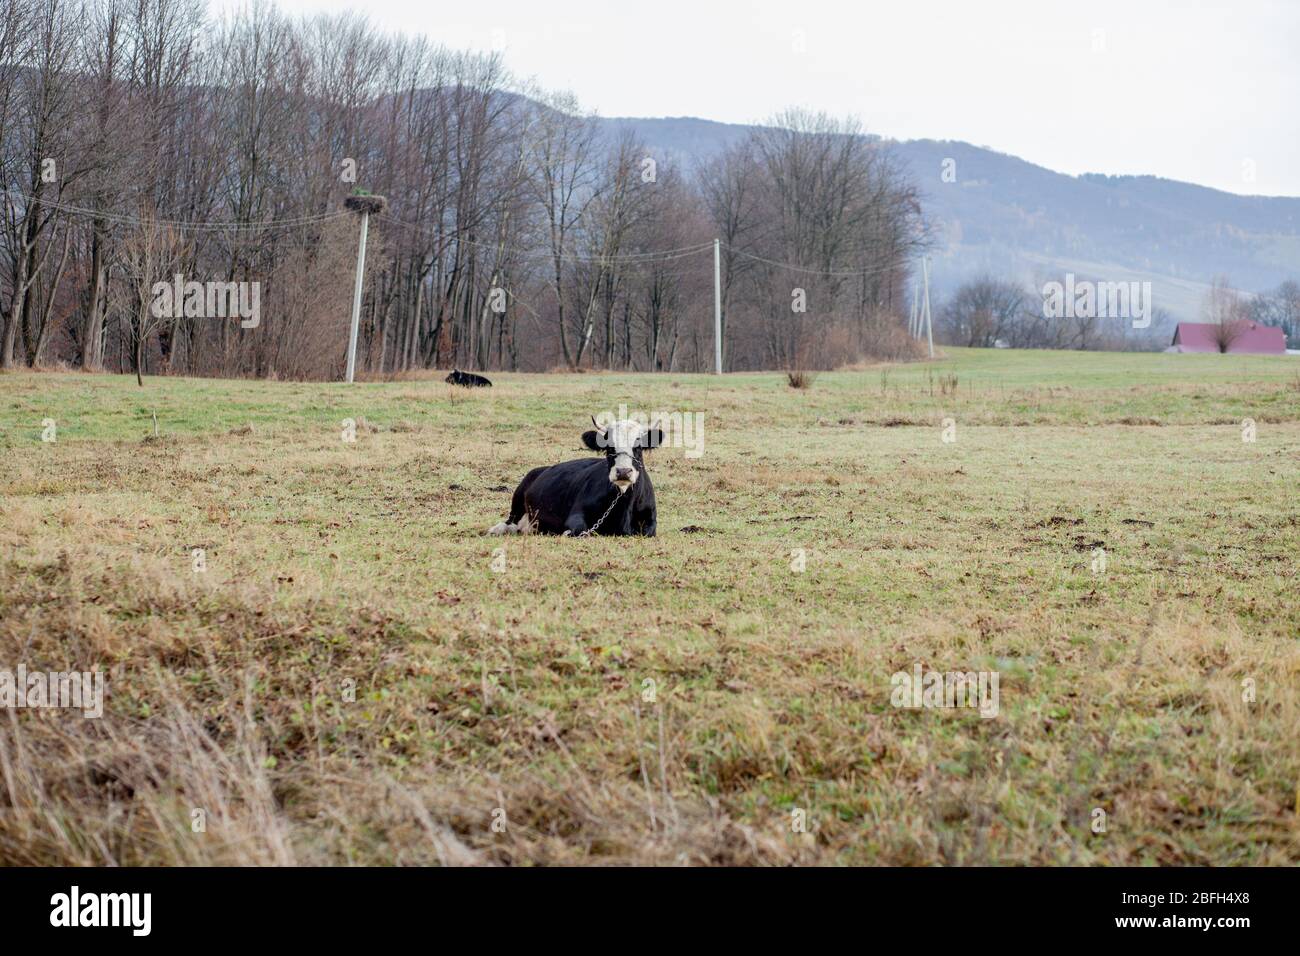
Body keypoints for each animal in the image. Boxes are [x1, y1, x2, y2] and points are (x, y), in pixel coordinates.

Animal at [488, 418, 661, 537]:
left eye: (638, 447)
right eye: (609, 447)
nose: (623, 471)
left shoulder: (651, 521)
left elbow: (648, 532)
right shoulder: (576, 512)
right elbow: (578, 529)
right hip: (518, 497)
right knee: (510, 521)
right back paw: (498, 529)